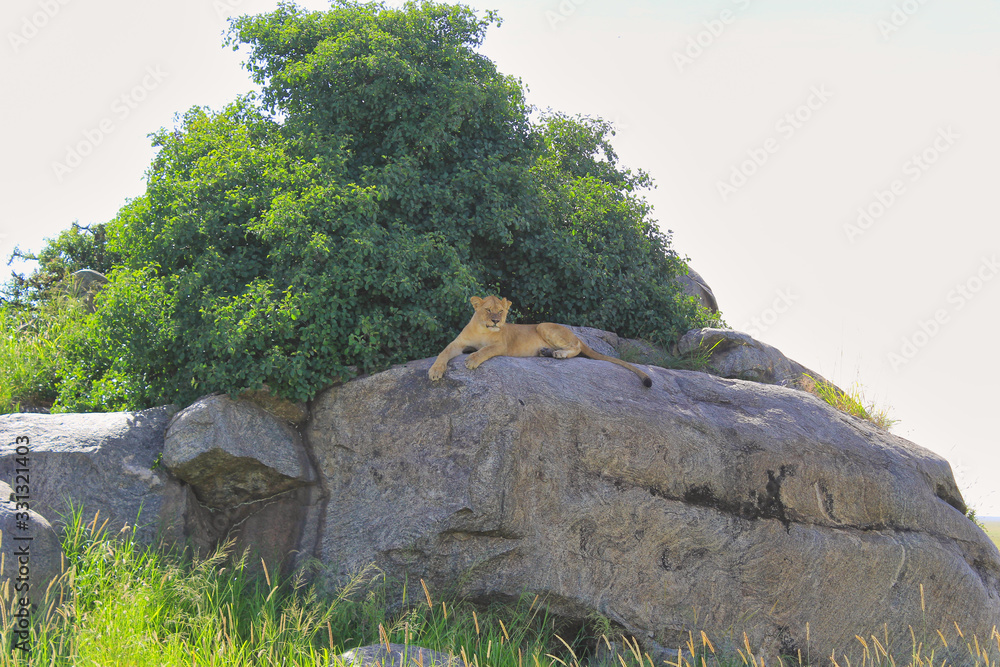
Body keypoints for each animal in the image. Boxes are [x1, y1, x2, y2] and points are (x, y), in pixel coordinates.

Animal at [428, 295, 653, 387]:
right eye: (488, 310)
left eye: (501, 311)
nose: (496, 321)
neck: (483, 329)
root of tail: (575, 333)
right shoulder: (458, 343)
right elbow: (443, 352)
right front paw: (435, 371)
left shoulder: (501, 346)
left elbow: (484, 351)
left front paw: (472, 360)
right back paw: (546, 352)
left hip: (544, 325)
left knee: (577, 347)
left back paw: (558, 353)